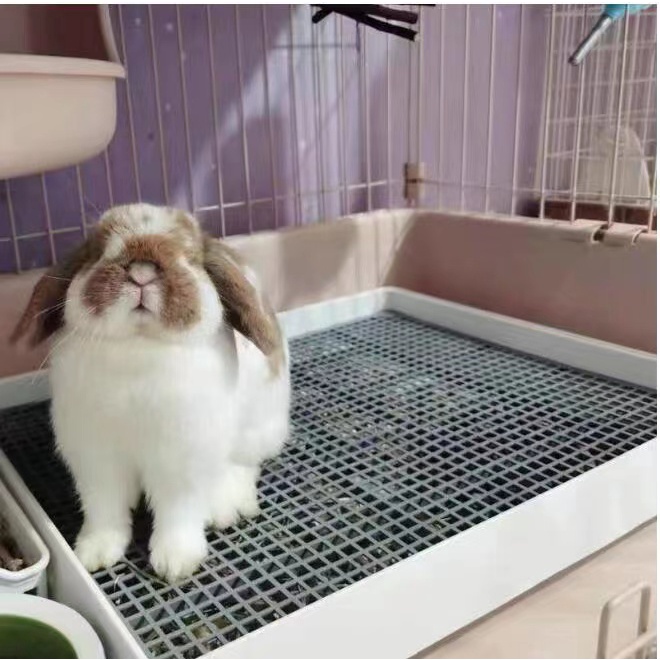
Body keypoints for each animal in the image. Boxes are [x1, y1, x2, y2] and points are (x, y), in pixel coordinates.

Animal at [11, 203, 290, 583]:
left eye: (189, 256)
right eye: (98, 251)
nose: (141, 271)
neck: (139, 345)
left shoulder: (180, 462)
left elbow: (178, 514)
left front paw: (176, 562)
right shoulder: (97, 461)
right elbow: (104, 510)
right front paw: (95, 553)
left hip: (256, 430)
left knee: (243, 466)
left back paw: (228, 507)